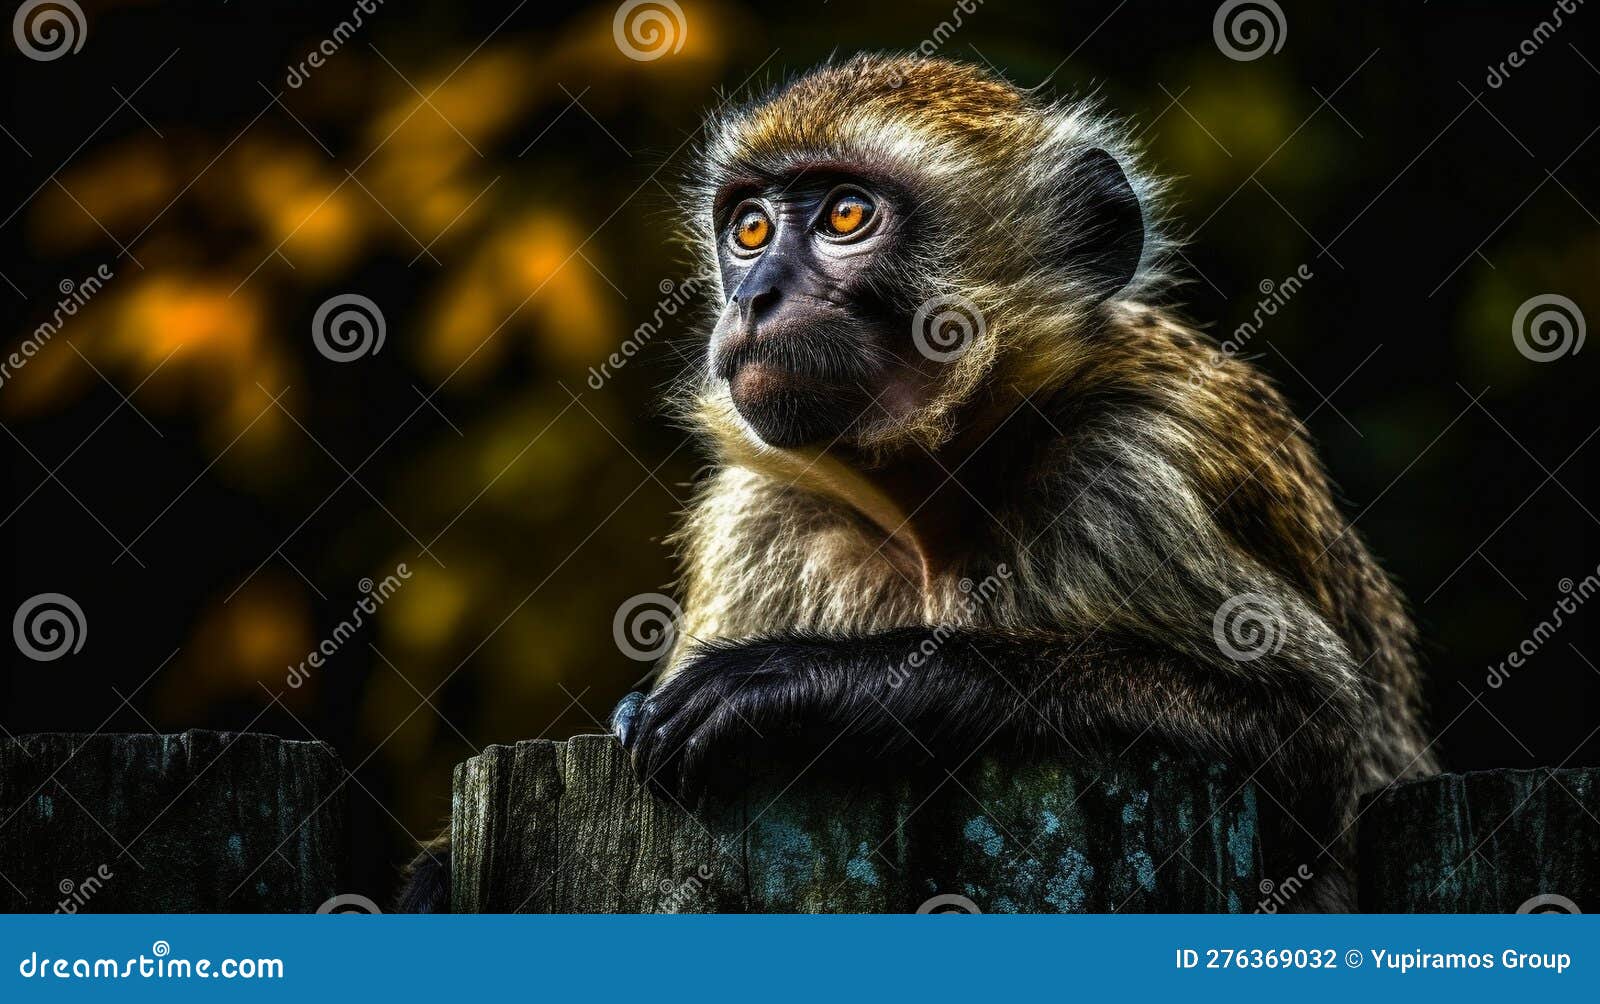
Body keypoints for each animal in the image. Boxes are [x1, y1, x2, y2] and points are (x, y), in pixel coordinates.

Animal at [401, 53, 1434, 913]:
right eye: (750, 228)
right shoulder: (763, 516)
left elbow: (1317, 758)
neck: (940, 499)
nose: (754, 296)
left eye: (846, 215)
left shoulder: (1128, 474)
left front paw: (831, 684)